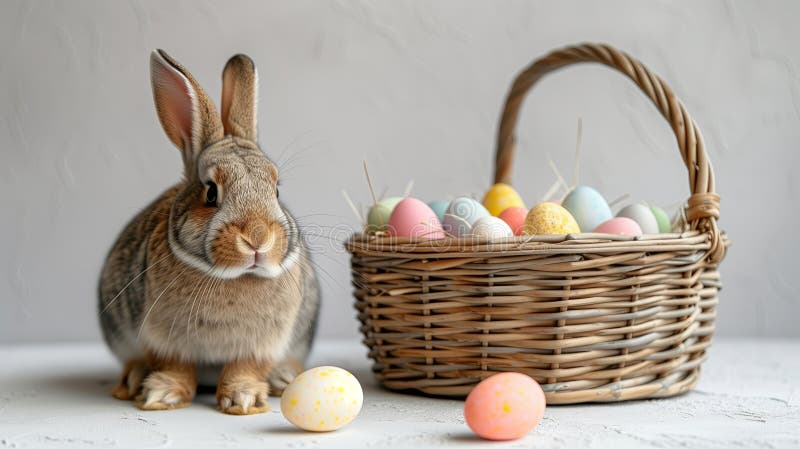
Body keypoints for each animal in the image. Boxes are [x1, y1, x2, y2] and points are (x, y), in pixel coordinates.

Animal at [97, 49, 320, 415]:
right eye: (211, 193)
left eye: (276, 190)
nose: (258, 238)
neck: (234, 277)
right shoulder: (164, 339)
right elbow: (175, 366)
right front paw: (163, 396)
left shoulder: (262, 343)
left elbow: (245, 368)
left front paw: (243, 401)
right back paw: (132, 380)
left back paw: (282, 379)